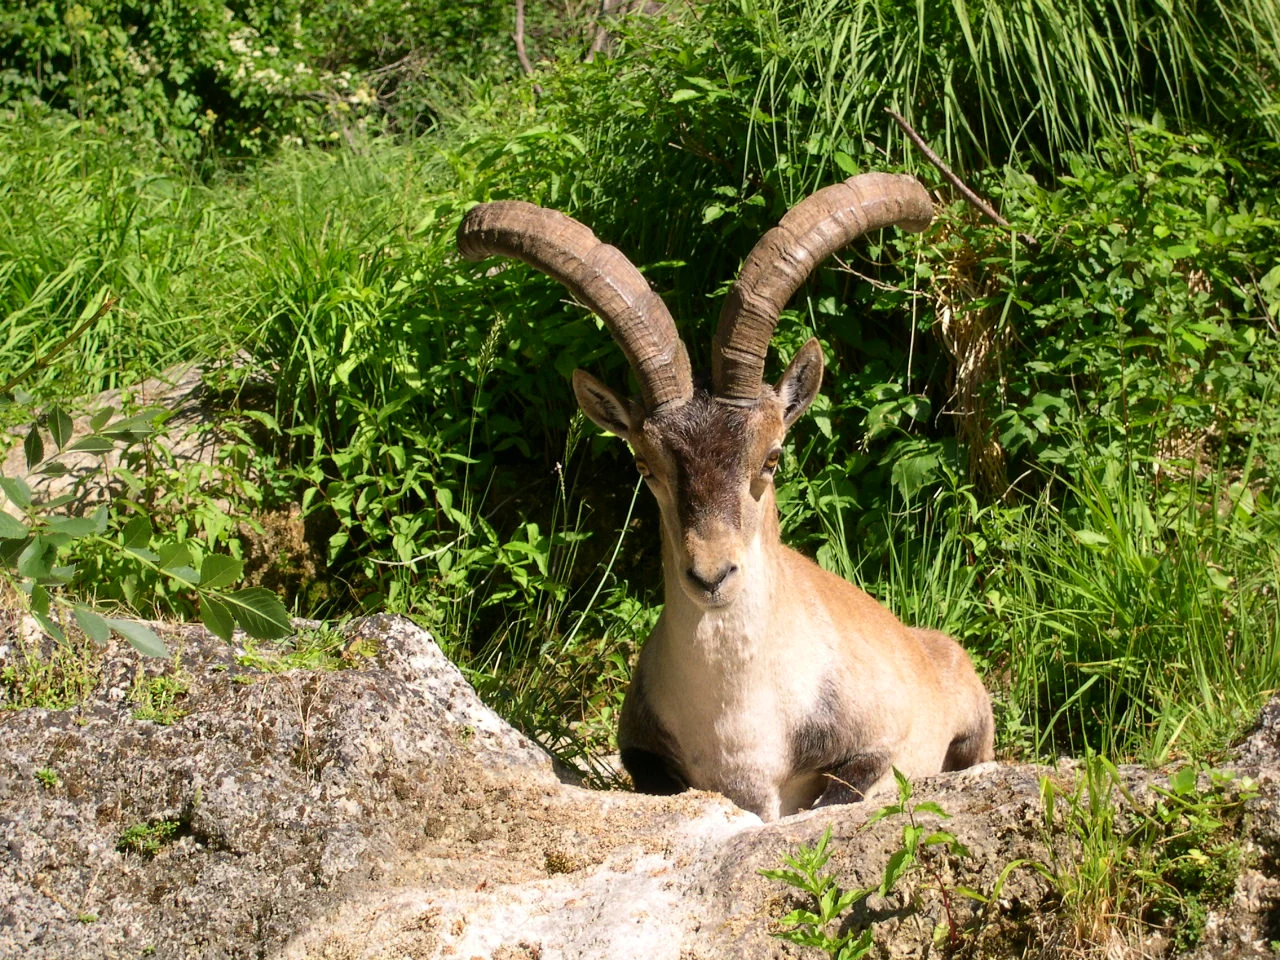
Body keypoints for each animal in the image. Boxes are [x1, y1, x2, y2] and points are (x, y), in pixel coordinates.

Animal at [457, 172, 994, 821]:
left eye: (772, 456)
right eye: (646, 465)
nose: (712, 576)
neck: (739, 721)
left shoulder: (881, 741)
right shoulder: (643, 750)